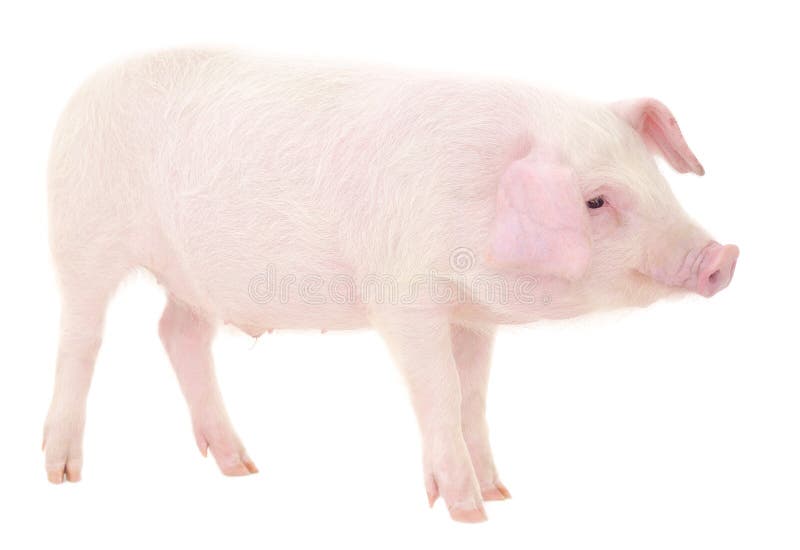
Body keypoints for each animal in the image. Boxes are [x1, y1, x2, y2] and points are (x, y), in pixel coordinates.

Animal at [43, 49, 738, 522]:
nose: (722, 257)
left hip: (193, 276)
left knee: (178, 331)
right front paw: (467, 513)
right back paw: (62, 473)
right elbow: (440, 390)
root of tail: (85, 87)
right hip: (81, 236)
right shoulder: (403, 298)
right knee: (82, 337)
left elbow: (473, 396)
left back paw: (242, 469)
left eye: (655, 179)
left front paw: (500, 494)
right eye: (595, 200)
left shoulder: (471, 315)